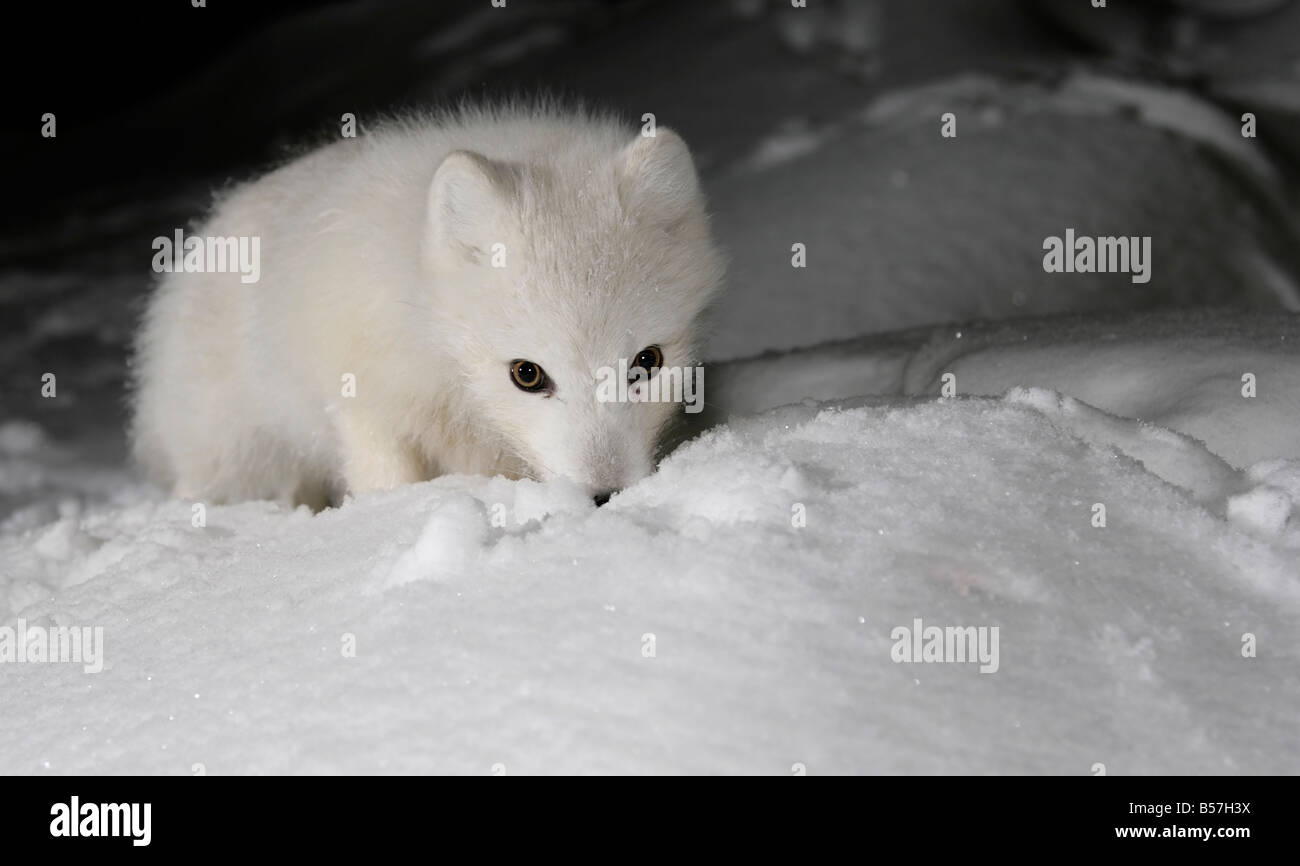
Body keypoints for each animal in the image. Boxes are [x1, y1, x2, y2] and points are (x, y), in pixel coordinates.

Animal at [129, 103, 727, 509]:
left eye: (647, 363)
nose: (605, 496)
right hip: (233, 457)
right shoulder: (365, 402)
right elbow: (388, 481)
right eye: (527, 374)